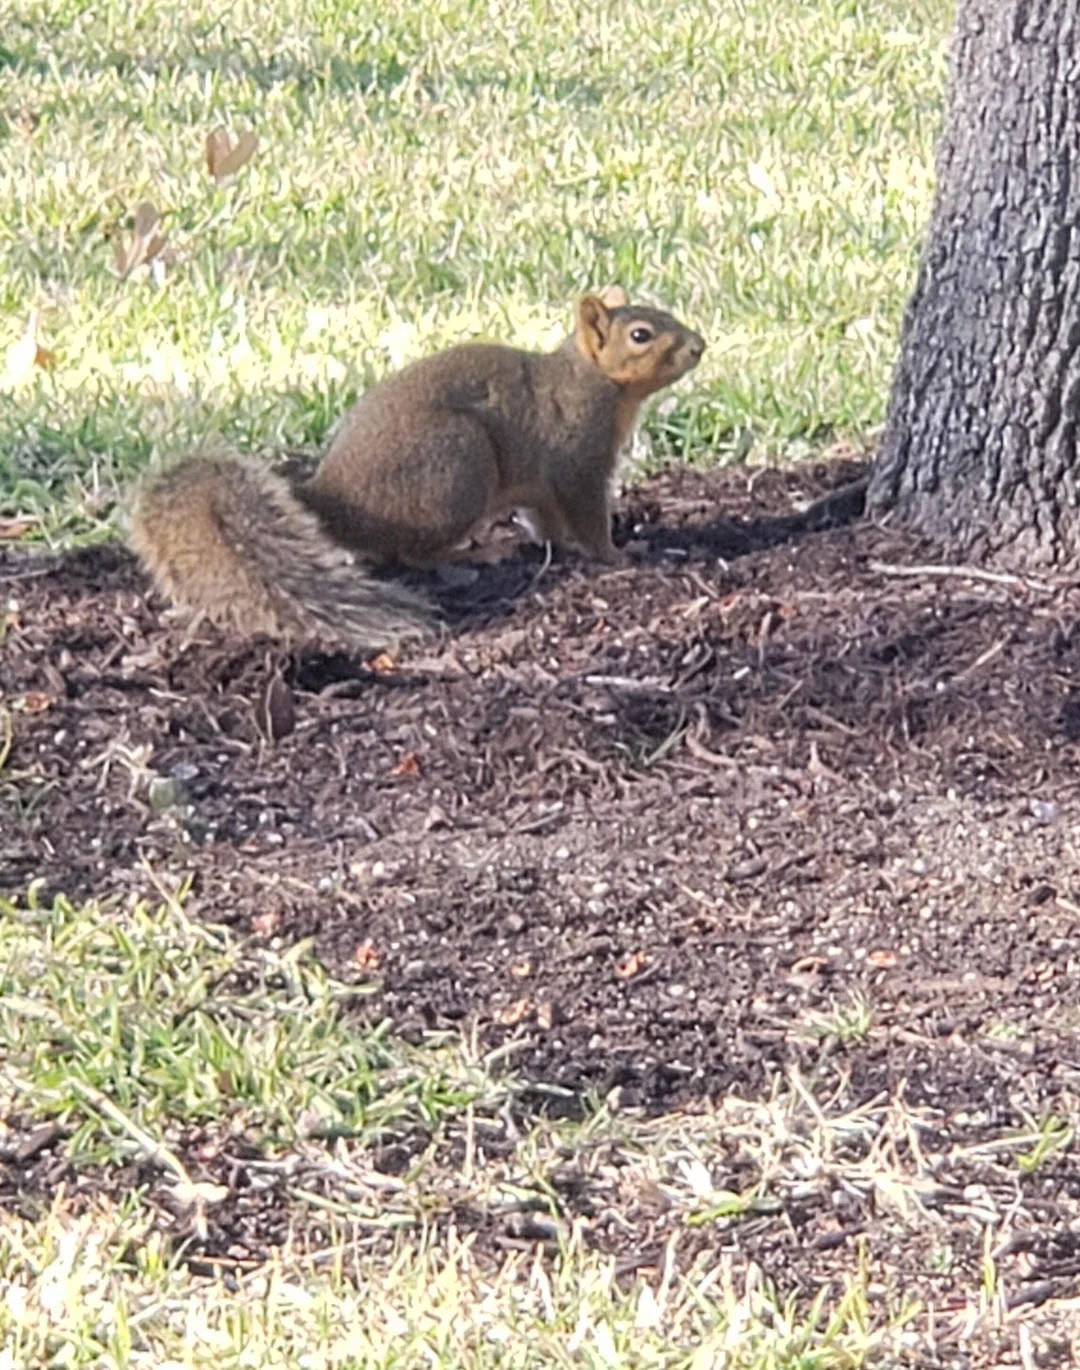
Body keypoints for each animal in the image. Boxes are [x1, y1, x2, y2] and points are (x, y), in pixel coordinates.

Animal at [129, 287, 705, 651]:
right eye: (640, 335)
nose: (699, 346)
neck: (594, 378)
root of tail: (331, 496)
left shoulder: (542, 487)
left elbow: (547, 520)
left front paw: (558, 544)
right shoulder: (577, 458)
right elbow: (586, 517)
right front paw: (619, 553)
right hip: (457, 465)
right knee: (415, 552)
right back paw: (480, 551)